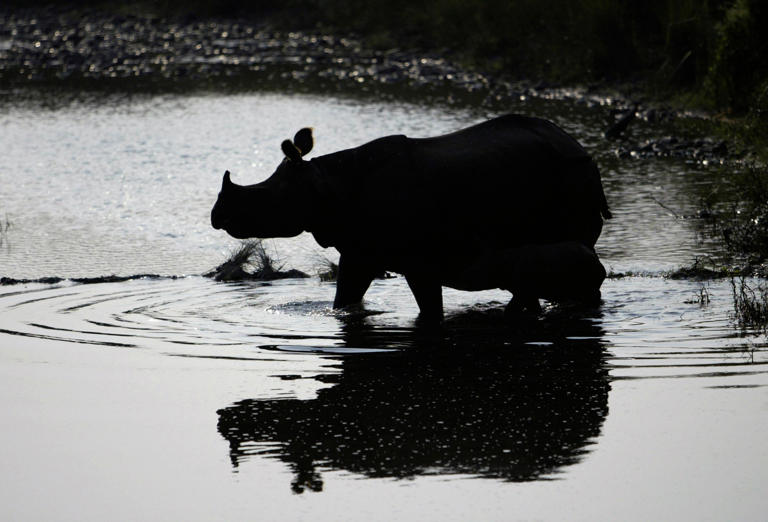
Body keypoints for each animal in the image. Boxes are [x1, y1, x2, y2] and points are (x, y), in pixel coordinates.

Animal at [211, 114, 611, 319]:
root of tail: (582, 150)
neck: (322, 184)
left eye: (267, 199)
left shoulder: (420, 261)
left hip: (572, 179)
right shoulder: (359, 250)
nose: (217, 215)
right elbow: (345, 298)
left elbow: (429, 308)